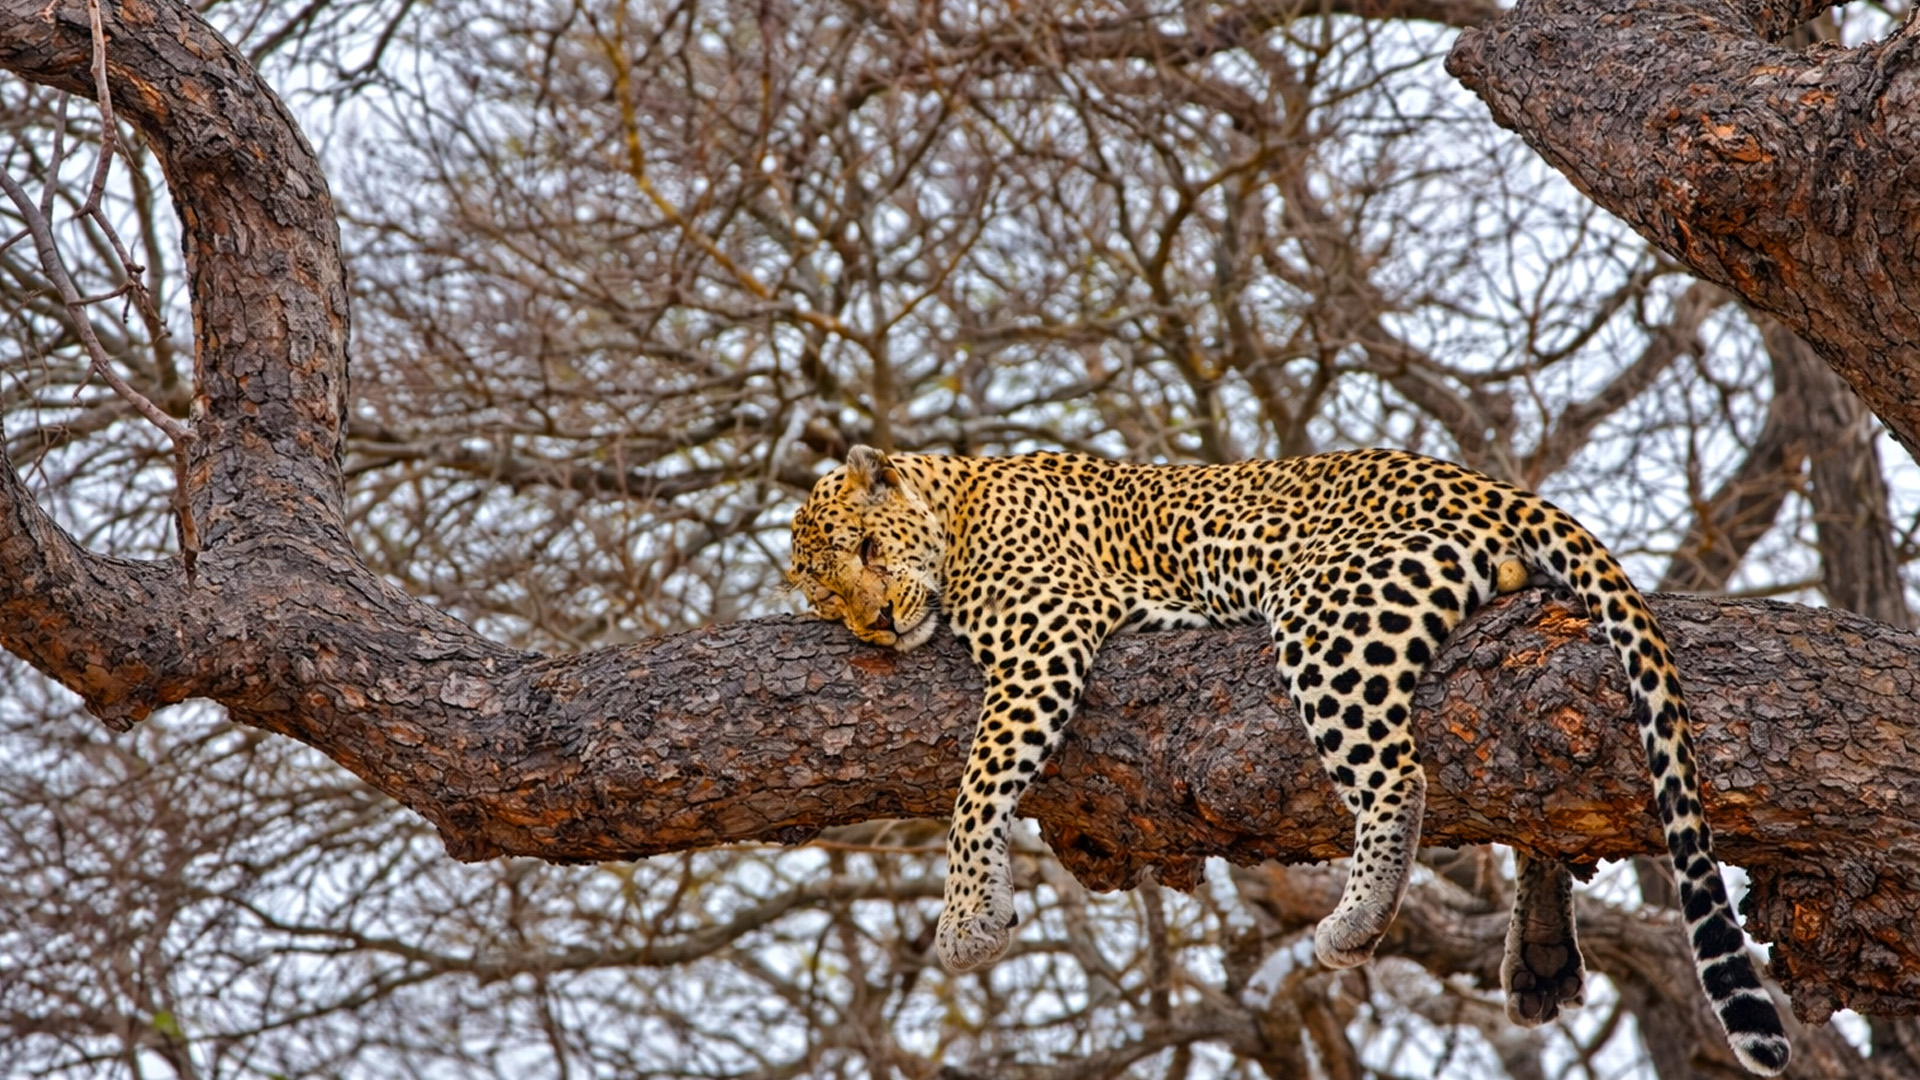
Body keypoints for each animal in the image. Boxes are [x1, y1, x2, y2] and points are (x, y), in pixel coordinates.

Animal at [786, 445, 1790, 1075]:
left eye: (868, 548)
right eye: (829, 597)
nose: (878, 623)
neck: (954, 495)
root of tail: (1492, 486)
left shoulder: (1046, 636)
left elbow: (976, 784)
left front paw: (964, 918)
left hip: (1329, 616)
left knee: (1401, 776)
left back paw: (1356, 921)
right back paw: (1536, 956)